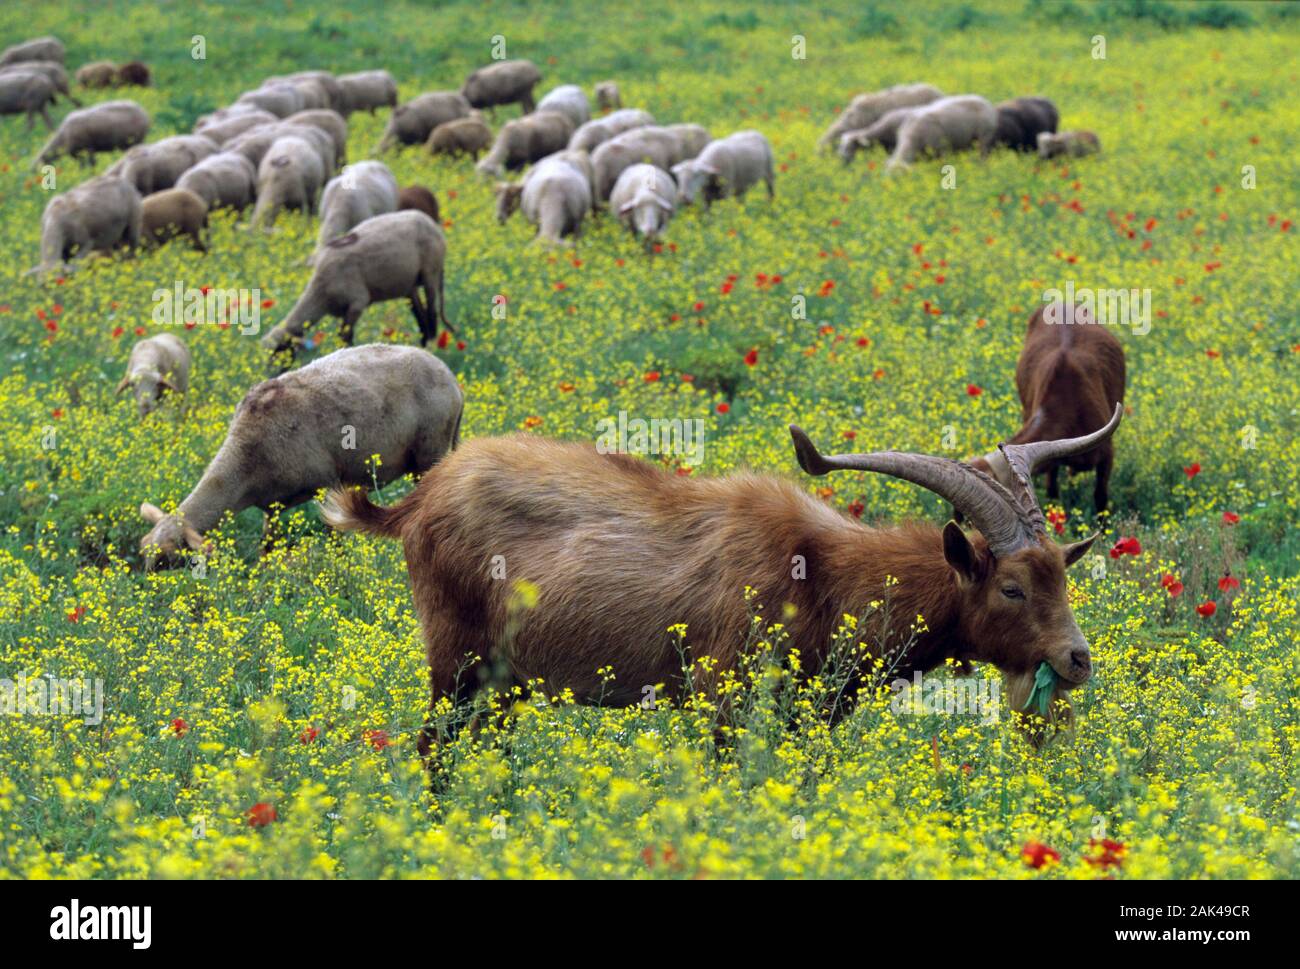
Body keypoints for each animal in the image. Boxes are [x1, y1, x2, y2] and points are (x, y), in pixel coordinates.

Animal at [321, 408, 1123, 758]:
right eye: (1013, 587)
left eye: (1064, 574)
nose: (1077, 659)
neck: (822, 571)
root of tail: (420, 501)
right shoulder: (723, 693)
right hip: (455, 659)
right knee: (432, 746)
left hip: (502, 680)